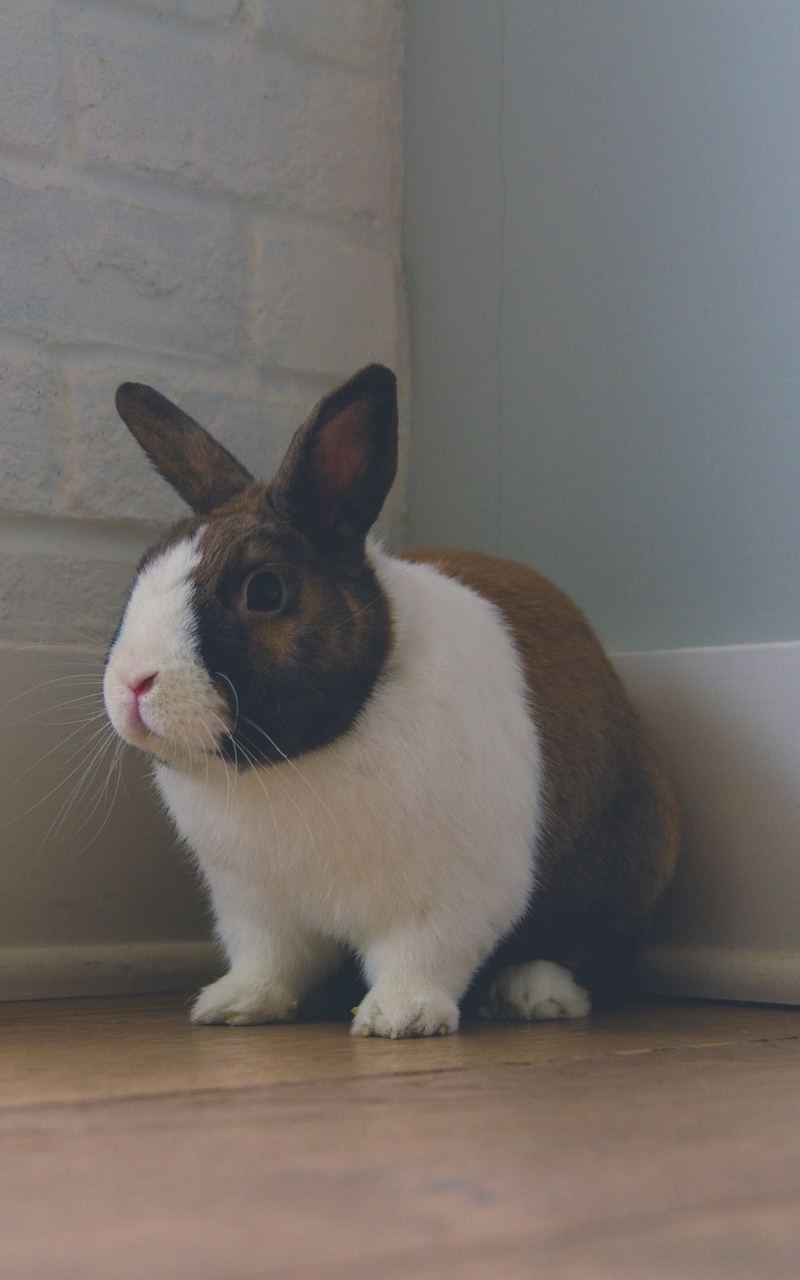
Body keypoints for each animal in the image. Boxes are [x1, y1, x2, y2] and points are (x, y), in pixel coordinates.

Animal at [103, 363, 680, 1038]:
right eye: (141, 573)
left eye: (265, 591)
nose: (134, 681)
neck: (291, 763)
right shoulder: (255, 908)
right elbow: (269, 962)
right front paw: (233, 1005)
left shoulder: (448, 897)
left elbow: (419, 956)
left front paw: (400, 1018)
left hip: (621, 877)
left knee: (584, 953)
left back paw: (535, 995)